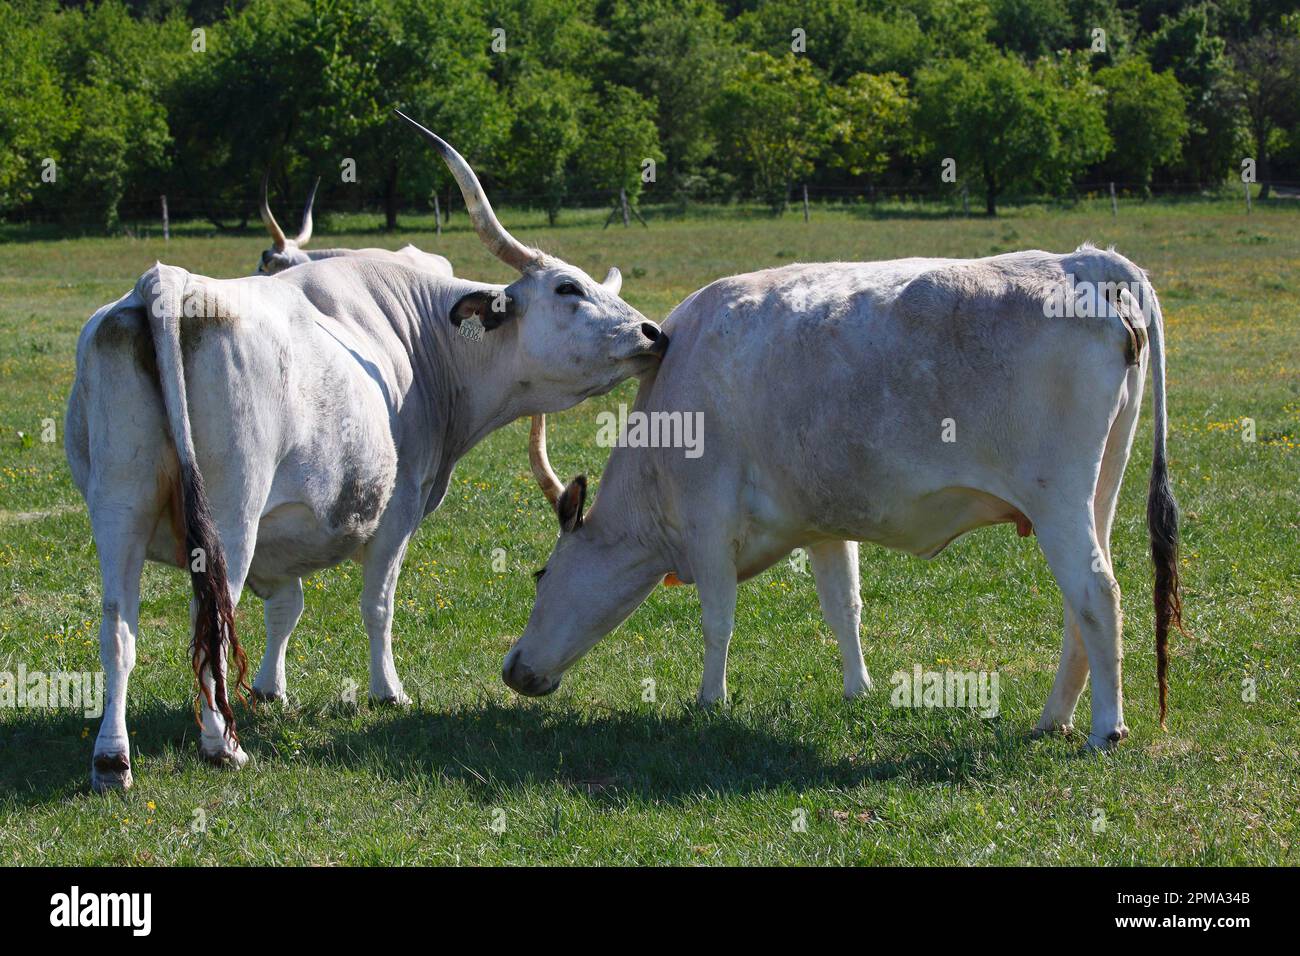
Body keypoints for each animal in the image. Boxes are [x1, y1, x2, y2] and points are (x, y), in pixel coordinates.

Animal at [502, 246, 1182, 752]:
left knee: (1096, 592)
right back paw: (1053, 718)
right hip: (1098, 492)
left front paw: (709, 703)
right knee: (1083, 604)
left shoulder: (707, 522)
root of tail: (1086, 261)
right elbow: (843, 606)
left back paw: (1104, 728)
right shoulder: (822, 523)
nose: (513, 668)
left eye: (541, 576)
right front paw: (859, 690)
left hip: (1057, 500)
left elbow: (718, 619)